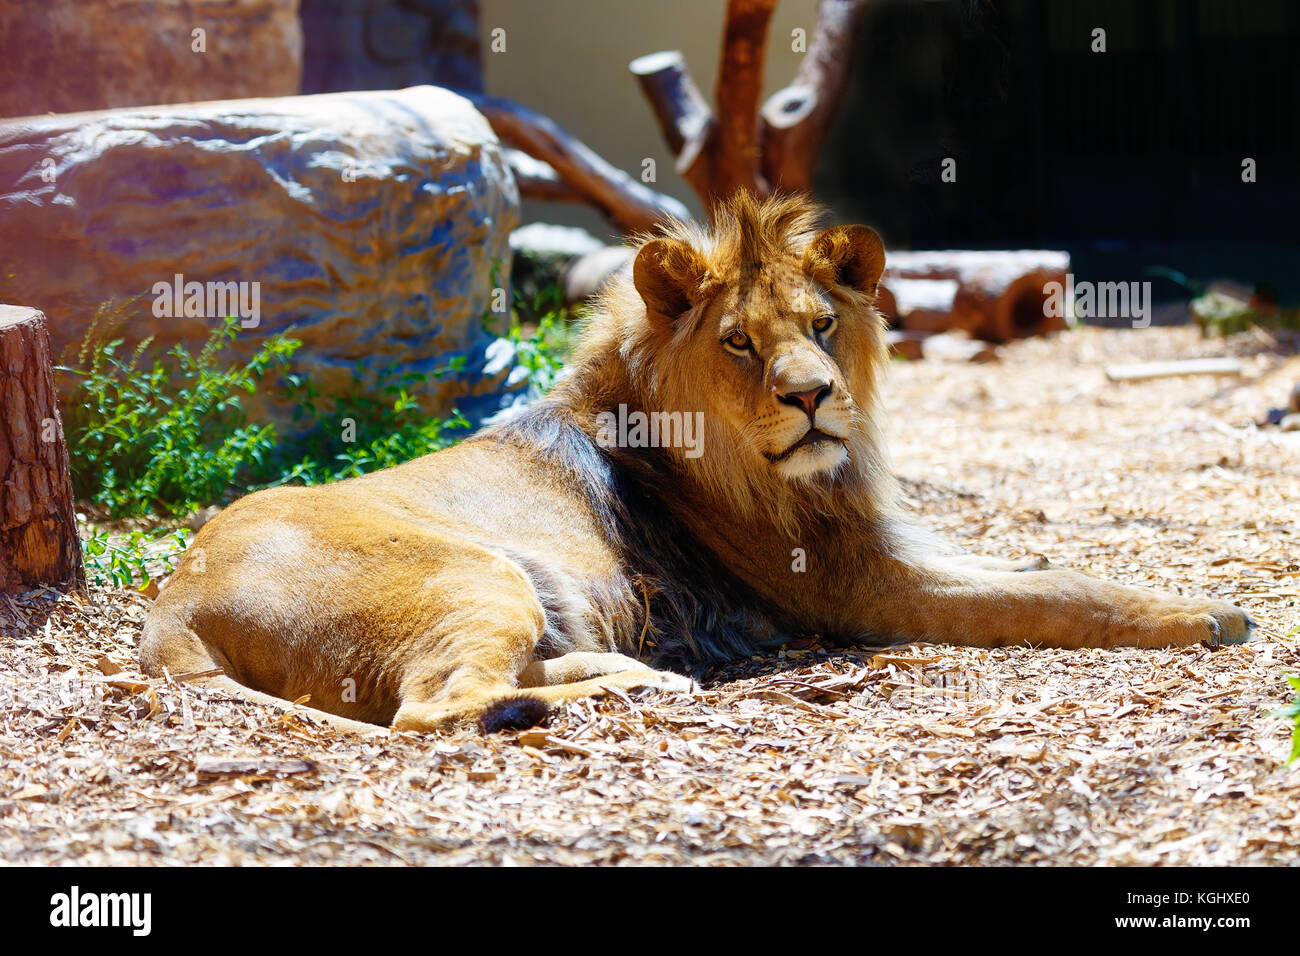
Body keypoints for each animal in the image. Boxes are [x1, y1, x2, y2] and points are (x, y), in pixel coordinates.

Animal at [141, 192, 1254, 734]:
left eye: (821, 325)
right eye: (740, 344)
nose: (812, 394)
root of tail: (169, 608)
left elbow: (1037, 568)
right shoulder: (861, 586)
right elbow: (1056, 593)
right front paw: (1208, 613)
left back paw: (639, 675)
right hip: (472, 569)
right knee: (435, 710)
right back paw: (609, 696)